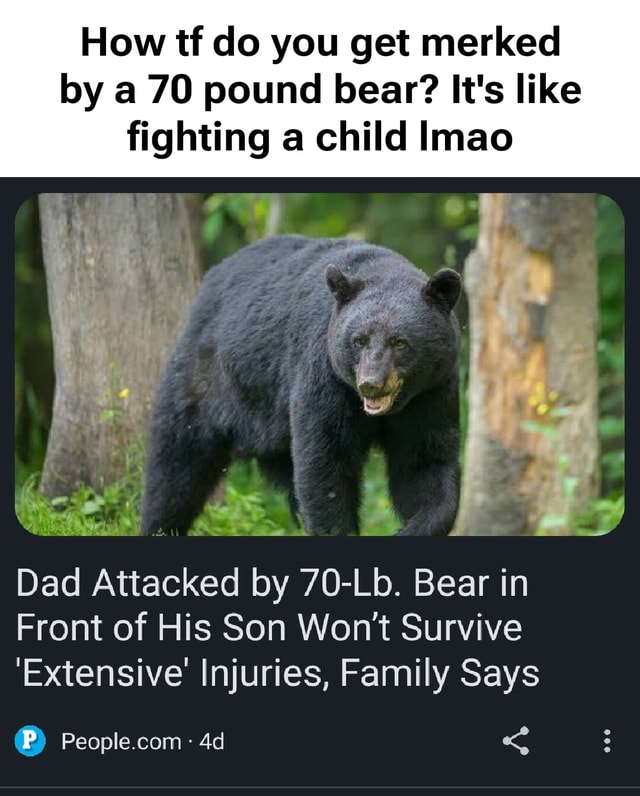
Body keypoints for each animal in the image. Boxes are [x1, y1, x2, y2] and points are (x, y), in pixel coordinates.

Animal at [141, 235, 461, 537]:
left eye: (399, 341)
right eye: (358, 340)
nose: (370, 384)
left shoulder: (431, 393)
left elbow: (425, 463)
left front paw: (412, 527)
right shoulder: (325, 375)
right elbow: (324, 463)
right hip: (205, 381)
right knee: (176, 467)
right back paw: (160, 524)